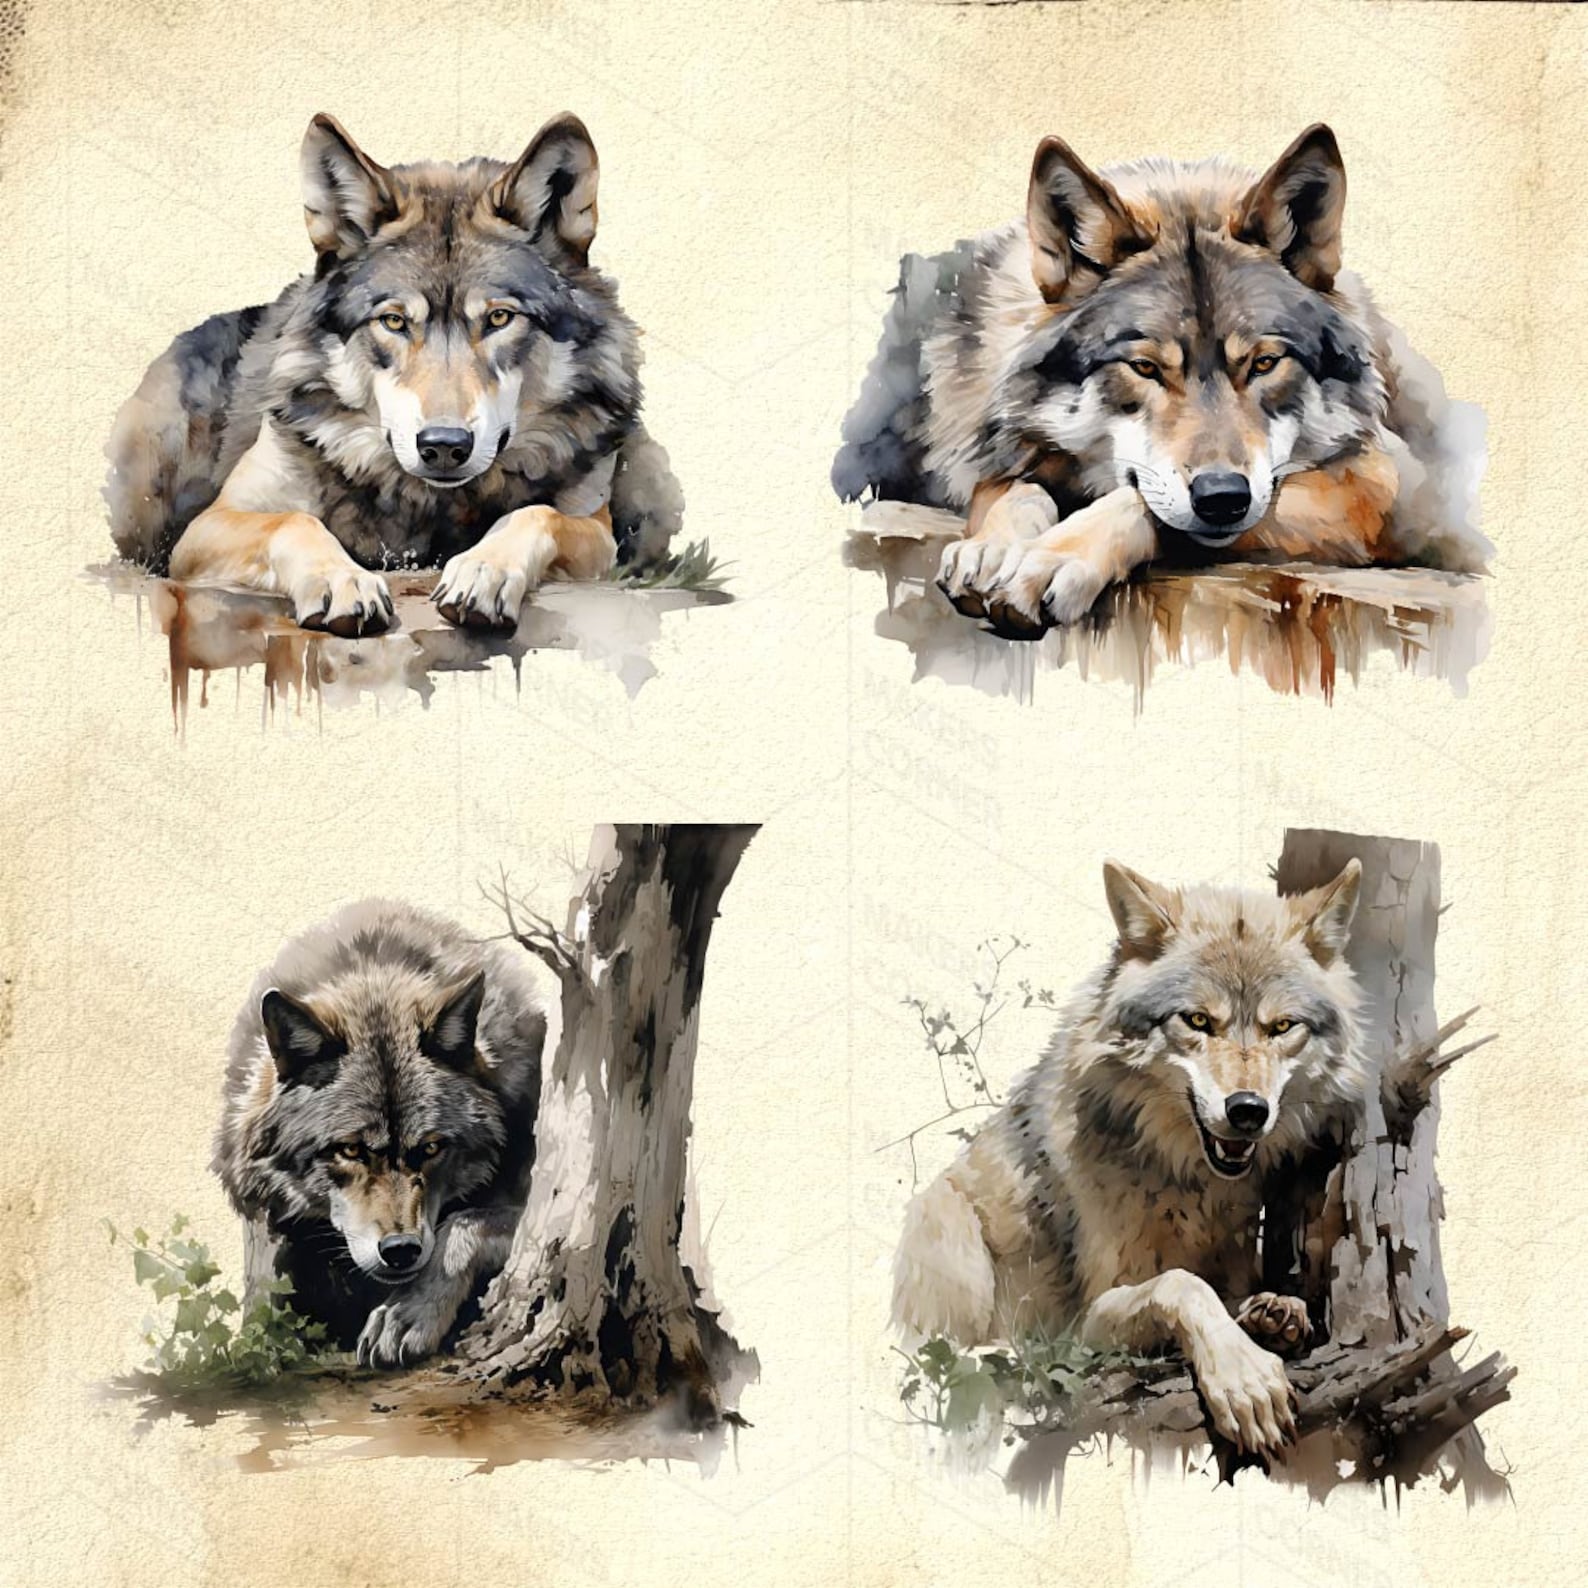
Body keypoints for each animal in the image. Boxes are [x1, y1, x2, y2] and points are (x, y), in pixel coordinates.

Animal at [106, 113, 683, 637]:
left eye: (499, 318)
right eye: (394, 321)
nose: (445, 445)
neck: (426, 504)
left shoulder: (598, 530)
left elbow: (536, 514)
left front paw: (483, 570)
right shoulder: (207, 528)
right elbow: (295, 521)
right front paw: (343, 581)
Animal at [213, 899, 546, 1368]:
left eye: (431, 1147)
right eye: (350, 1150)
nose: (401, 1250)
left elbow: (463, 1226)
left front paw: (406, 1314)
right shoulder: (262, 1212)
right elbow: (263, 1292)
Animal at [834, 125, 1488, 639]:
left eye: (1264, 364)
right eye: (1145, 367)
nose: (1223, 497)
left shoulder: (1389, 482)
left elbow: (1141, 505)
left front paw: (1049, 559)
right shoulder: (993, 449)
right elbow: (1011, 490)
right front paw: (992, 551)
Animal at [892, 859, 1368, 1458]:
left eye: (1281, 1027)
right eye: (1197, 1021)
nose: (1247, 1111)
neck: (1184, 1180)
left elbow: (1249, 1292)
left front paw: (1276, 1313)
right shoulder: (1089, 1324)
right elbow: (1182, 1285)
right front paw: (1245, 1380)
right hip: (940, 1219)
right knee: (940, 1355)